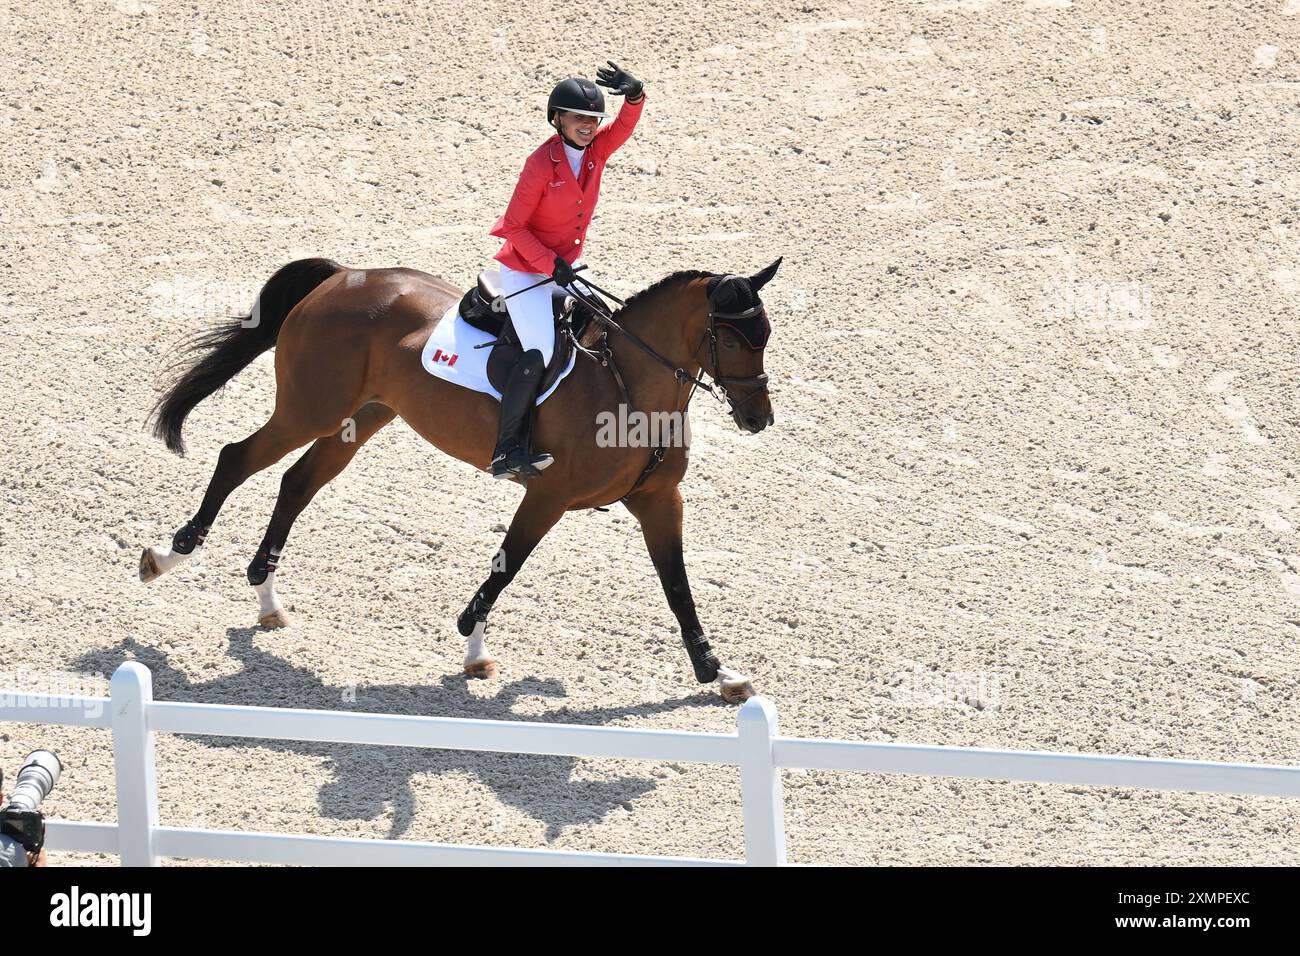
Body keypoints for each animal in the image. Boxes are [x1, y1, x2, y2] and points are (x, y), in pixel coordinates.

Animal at [139, 255, 780, 703]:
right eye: (731, 337)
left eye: (766, 336)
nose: (759, 418)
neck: (627, 384)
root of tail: (342, 277)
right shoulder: (548, 494)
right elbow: (507, 563)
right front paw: (474, 643)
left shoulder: (658, 501)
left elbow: (678, 588)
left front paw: (718, 672)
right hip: (311, 410)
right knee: (235, 459)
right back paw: (168, 557)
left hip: (361, 418)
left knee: (297, 484)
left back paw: (267, 597)